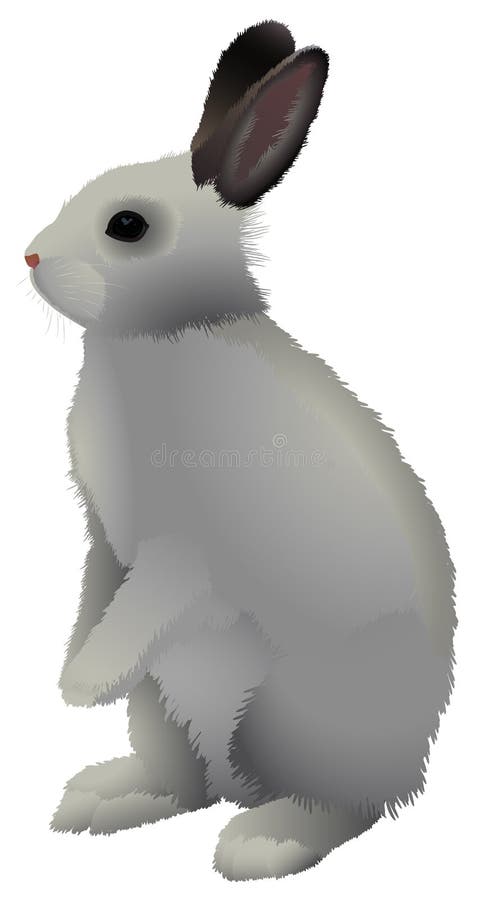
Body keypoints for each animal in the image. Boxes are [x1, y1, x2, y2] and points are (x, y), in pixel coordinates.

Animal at [24, 20, 456, 881]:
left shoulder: (184, 549)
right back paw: (100, 798)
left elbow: (152, 597)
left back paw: (262, 842)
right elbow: (95, 595)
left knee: (335, 808)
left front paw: (82, 684)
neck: (167, 336)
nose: (28, 257)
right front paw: (70, 673)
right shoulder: (104, 541)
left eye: (128, 226)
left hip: (289, 719)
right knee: (184, 783)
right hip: (161, 708)